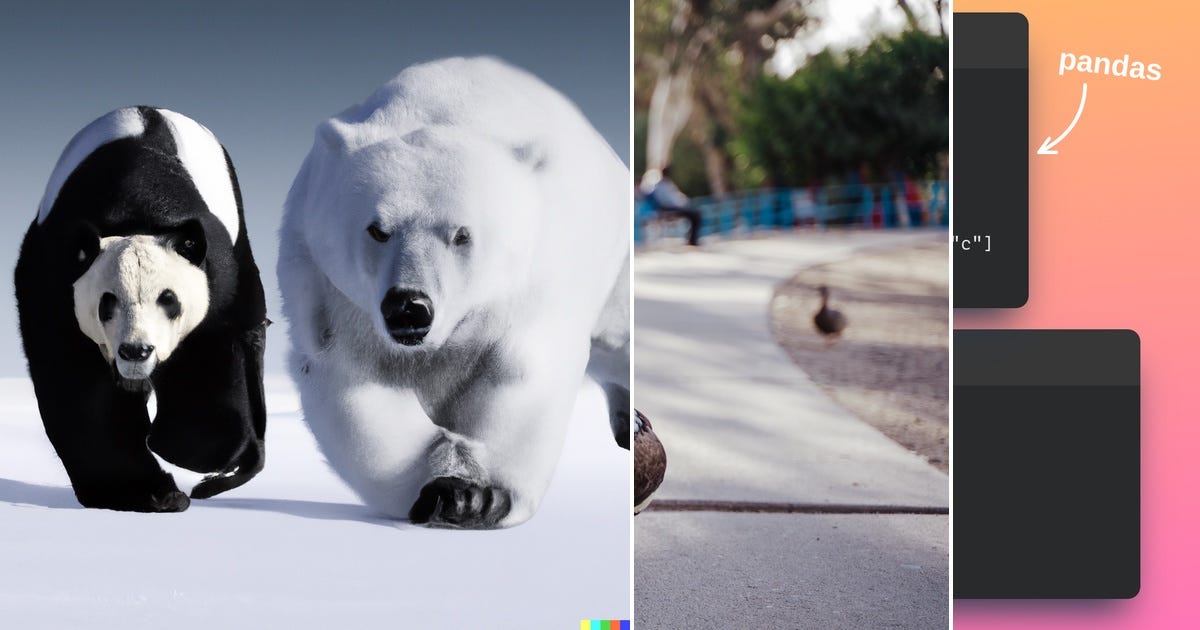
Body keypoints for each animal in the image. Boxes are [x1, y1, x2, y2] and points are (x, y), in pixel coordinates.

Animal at [14, 106, 268, 513]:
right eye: (106, 302)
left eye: (169, 299)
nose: (136, 351)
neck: (137, 202)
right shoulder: (53, 273)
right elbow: (76, 385)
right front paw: (147, 493)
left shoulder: (216, 272)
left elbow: (211, 365)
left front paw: (186, 453)